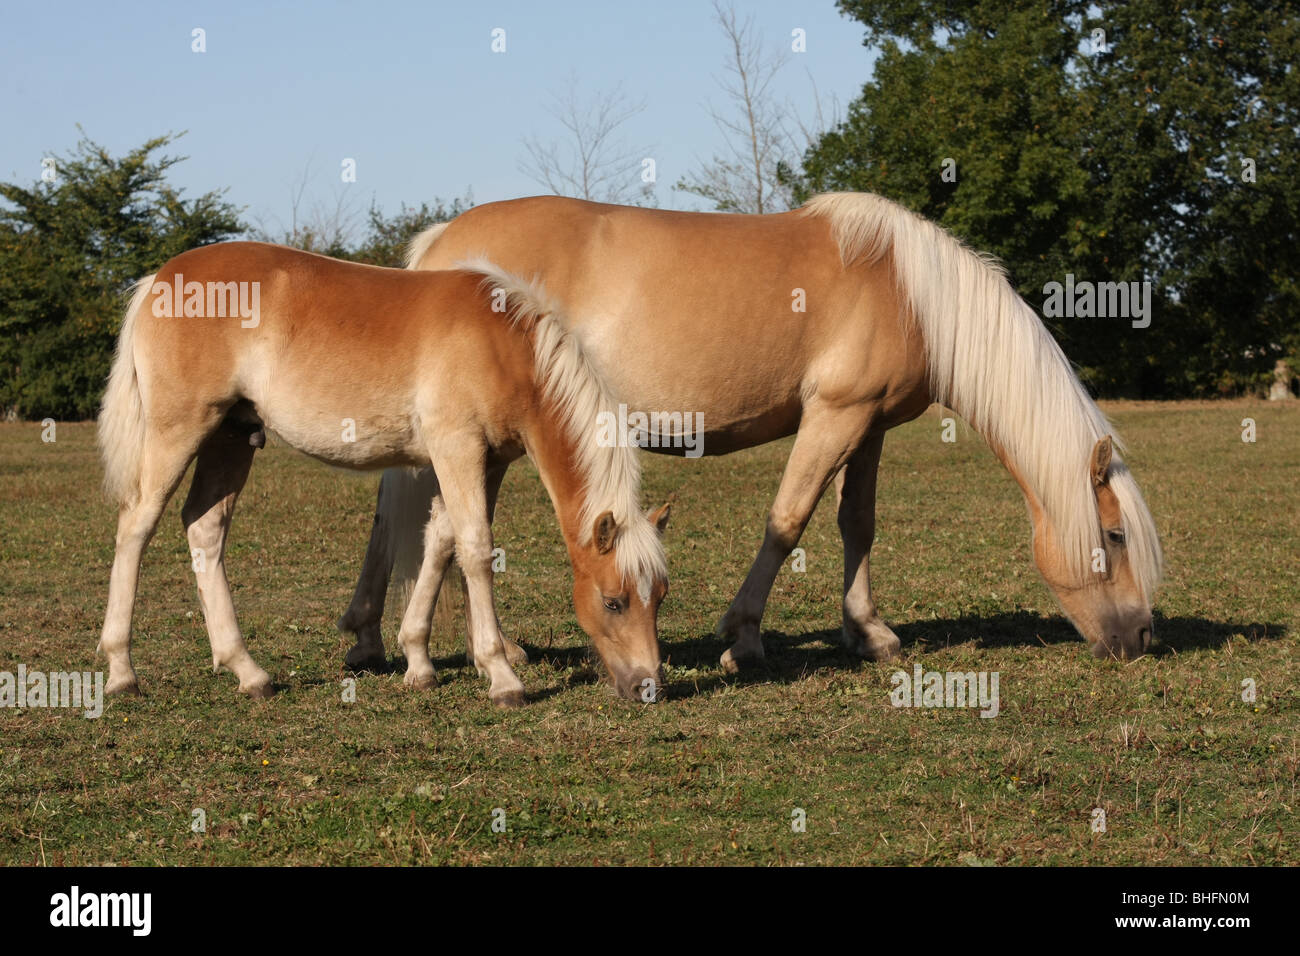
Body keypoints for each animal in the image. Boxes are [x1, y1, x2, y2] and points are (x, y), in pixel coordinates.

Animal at [96, 242, 671, 706]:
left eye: (660, 597)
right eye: (614, 601)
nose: (650, 688)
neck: (506, 346)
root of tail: (159, 278)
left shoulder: (486, 462)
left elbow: (441, 542)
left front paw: (418, 661)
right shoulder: (457, 448)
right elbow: (475, 550)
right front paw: (501, 676)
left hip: (231, 438)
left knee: (204, 528)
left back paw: (247, 670)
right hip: (179, 432)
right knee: (136, 524)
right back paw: (122, 670)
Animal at [340, 192, 1163, 673]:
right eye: (1115, 536)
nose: (1142, 638)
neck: (911, 293)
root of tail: (443, 241)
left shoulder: (868, 426)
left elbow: (857, 524)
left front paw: (868, 630)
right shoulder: (833, 416)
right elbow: (788, 520)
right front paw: (743, 636)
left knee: (412, 522)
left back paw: (382, 638)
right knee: (439, 524)